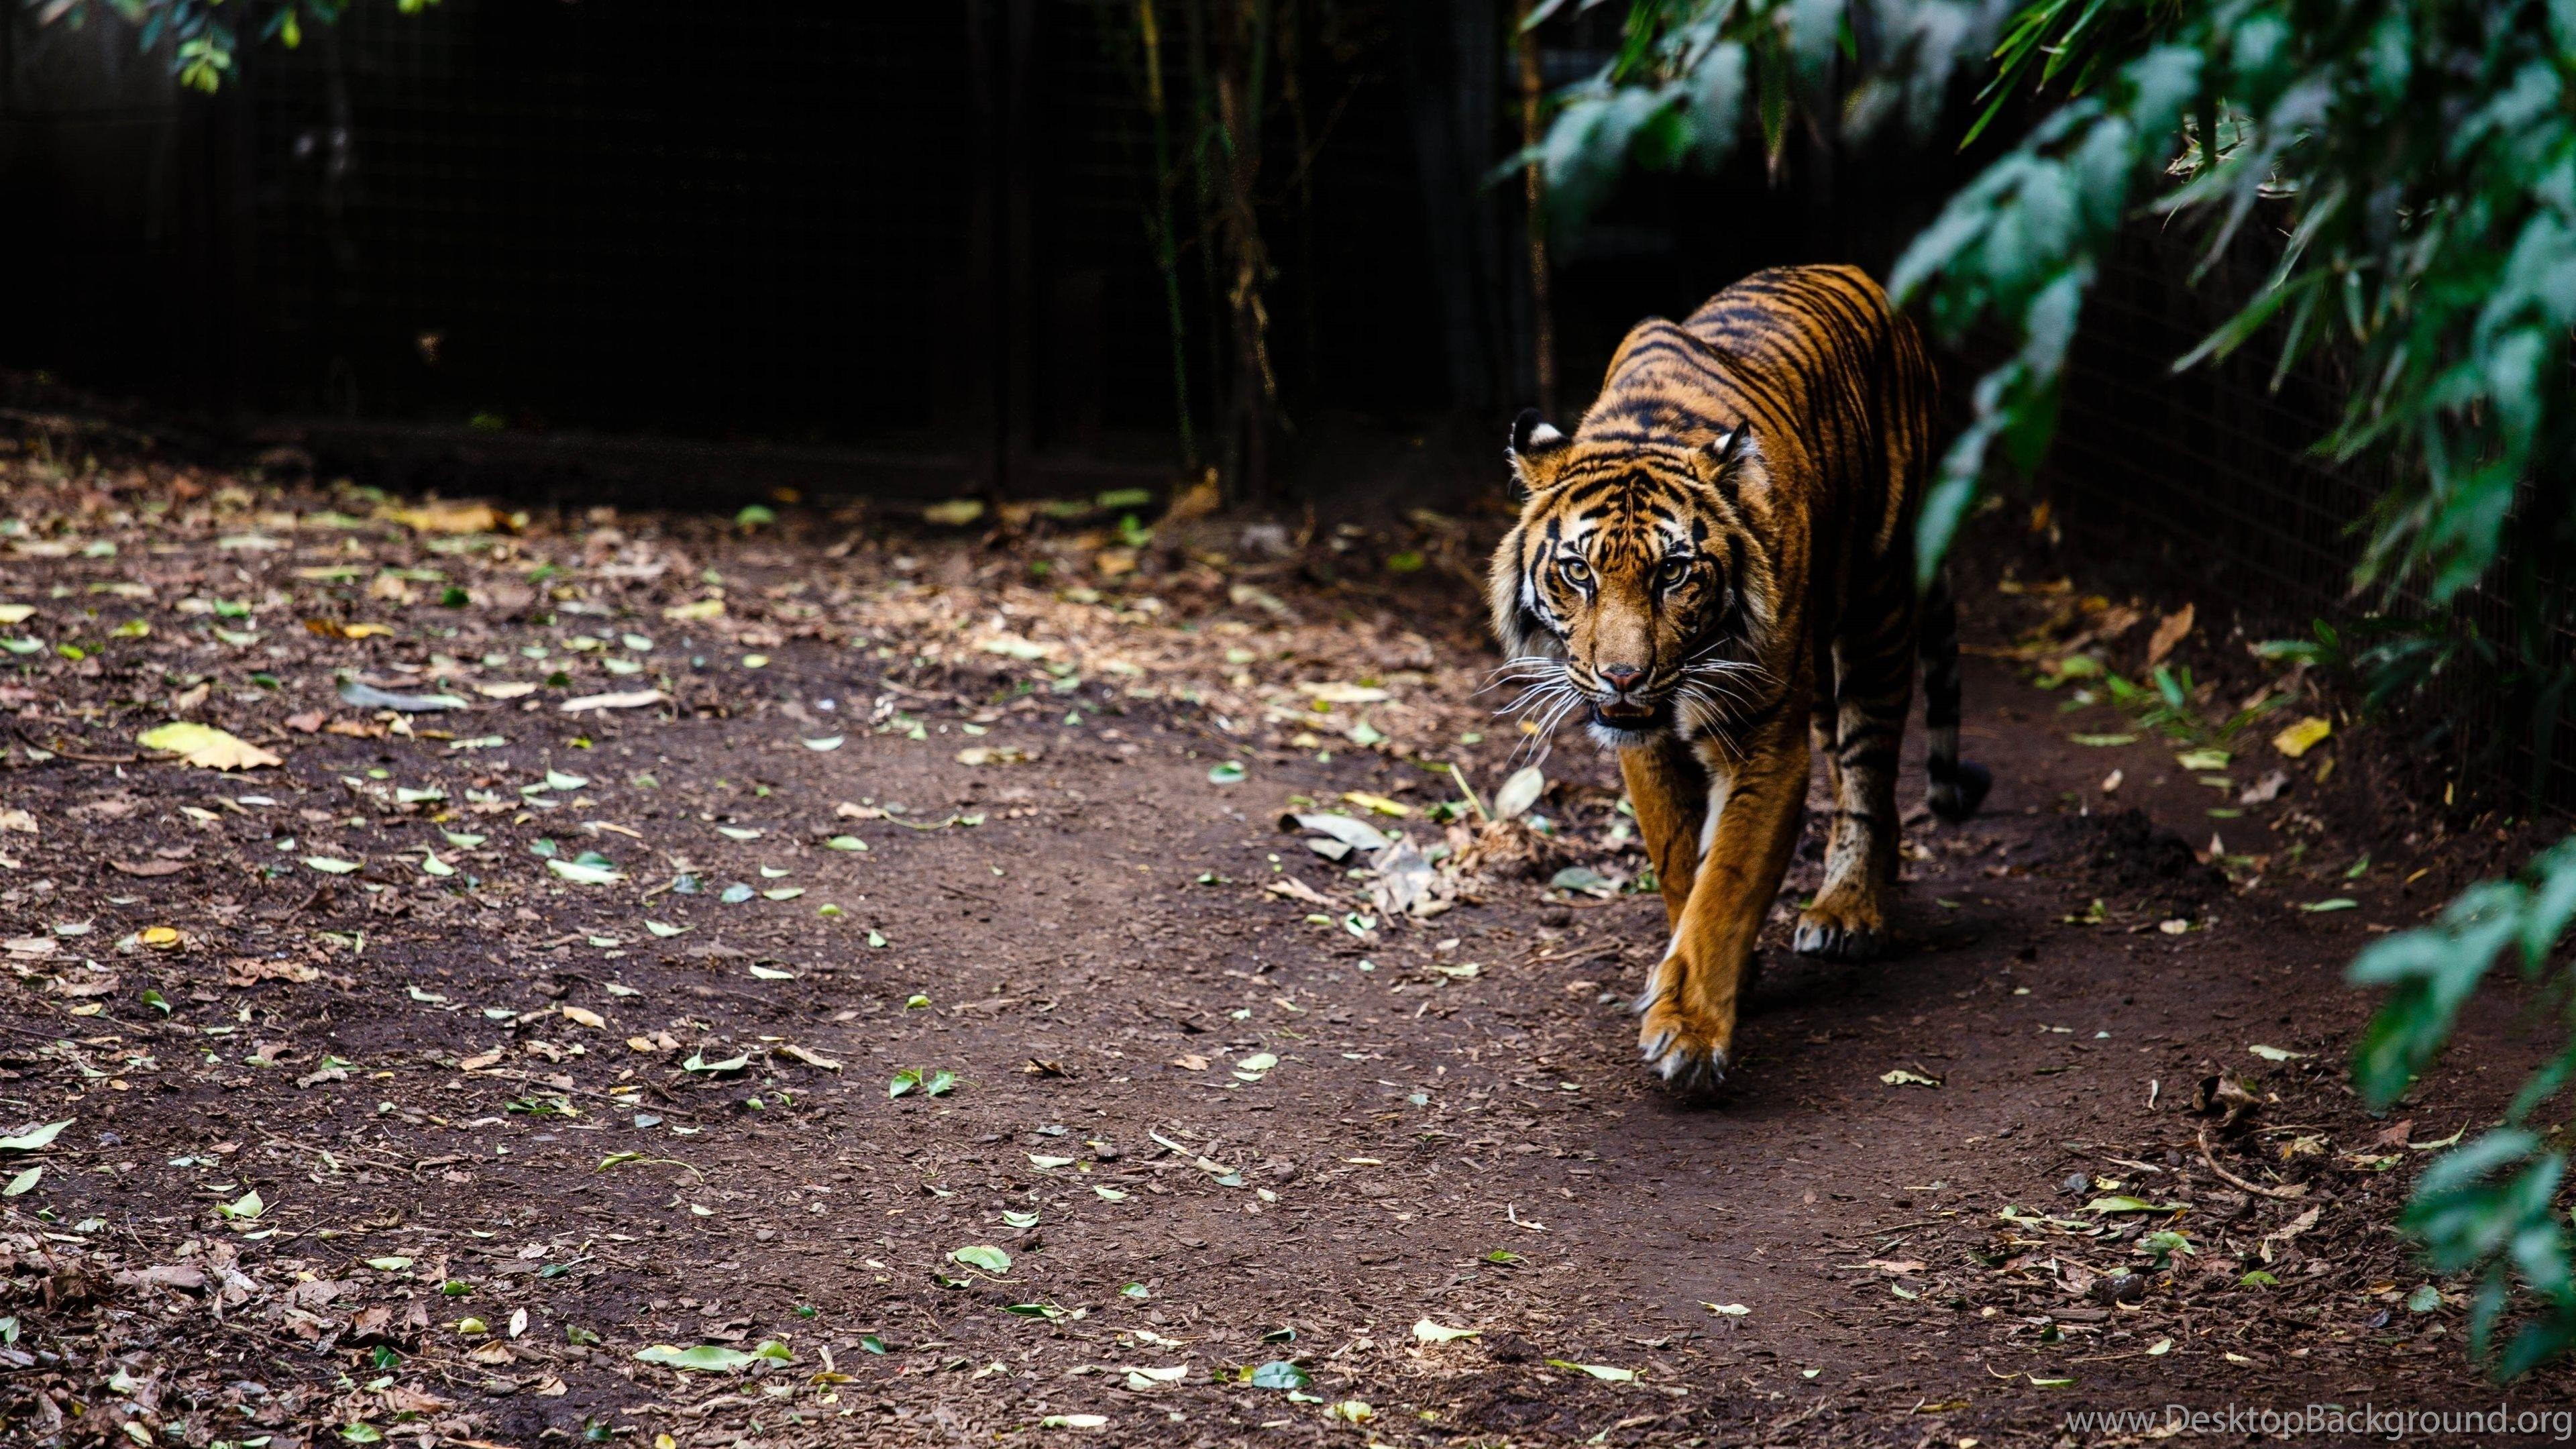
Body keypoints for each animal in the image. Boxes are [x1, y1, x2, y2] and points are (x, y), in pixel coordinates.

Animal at [1487, 263, 1990, 1091]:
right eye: (1578, 572)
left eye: (1673, 574)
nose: (1623, 677)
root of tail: (1864, 280)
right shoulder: (1648, 747)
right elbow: (1679, 864)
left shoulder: (1763, 741)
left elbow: (1726, 879)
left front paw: (1688, 1034)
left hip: (1877, 608)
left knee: (1868, 770)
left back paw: (1850, 909)